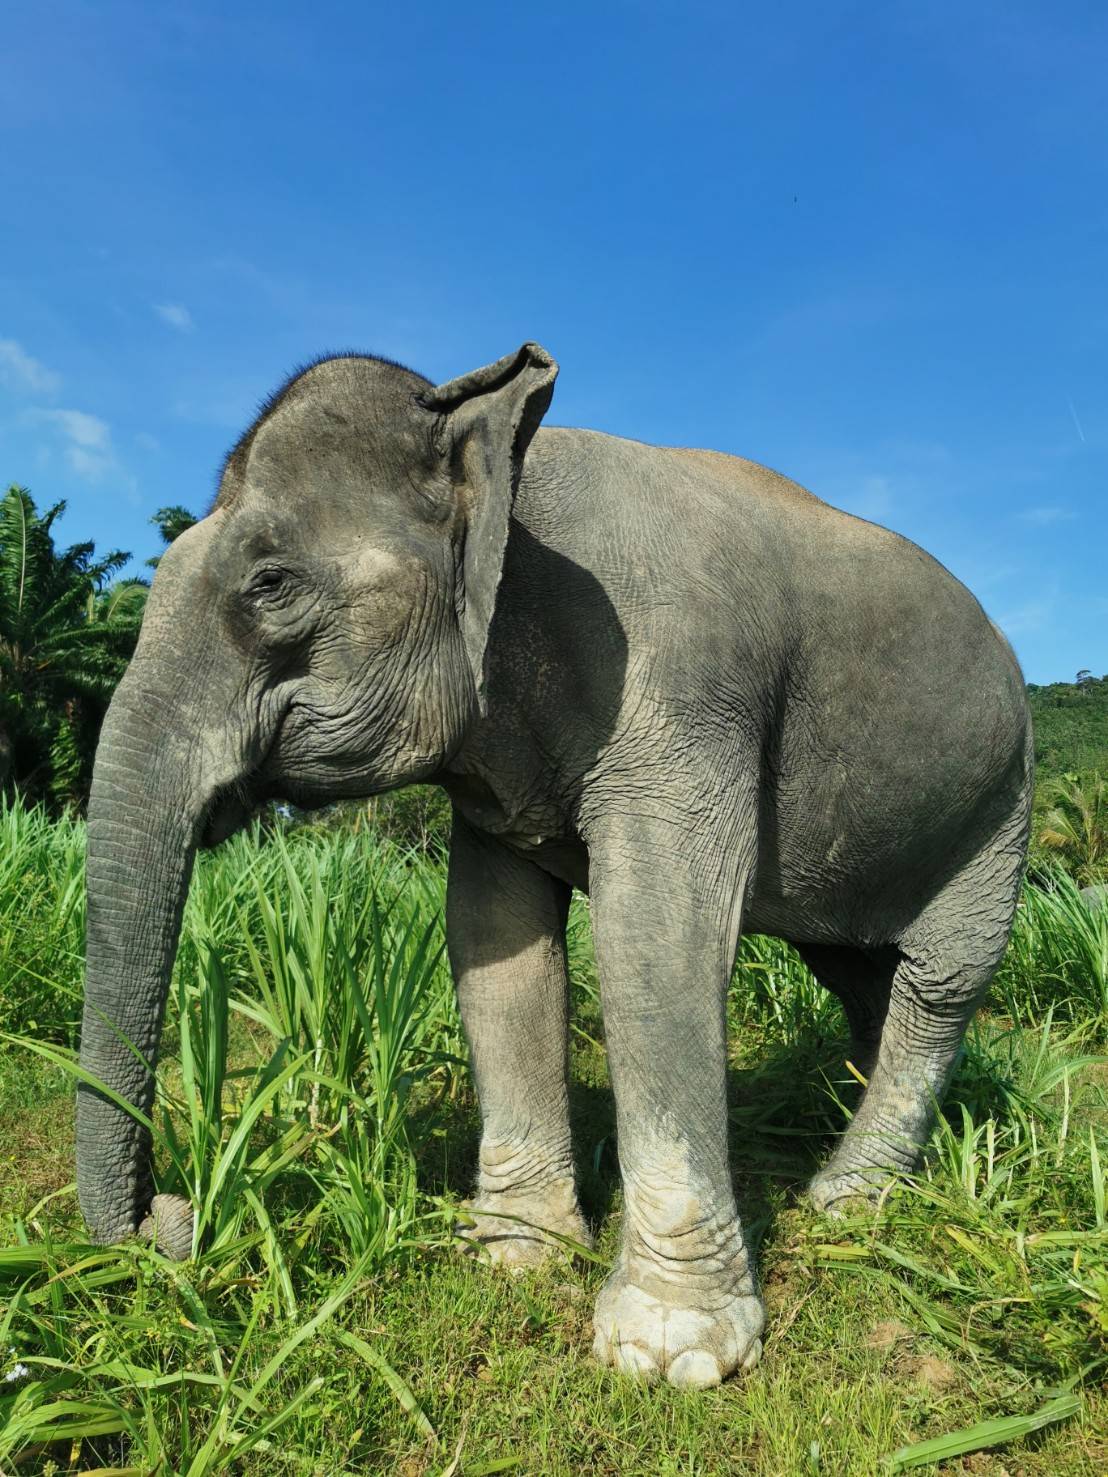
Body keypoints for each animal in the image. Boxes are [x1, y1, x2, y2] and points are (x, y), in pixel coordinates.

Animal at [77, 341, 1033, 1389]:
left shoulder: (682, 694)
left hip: (1001, 809)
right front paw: (518, 1253)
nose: (170, 1221)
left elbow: (654, 940)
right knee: (863, 973)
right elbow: (494, 941)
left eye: (270, 584)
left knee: (940, 985)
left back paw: (844, 1200)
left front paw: (671, 1351)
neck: (502, 453)